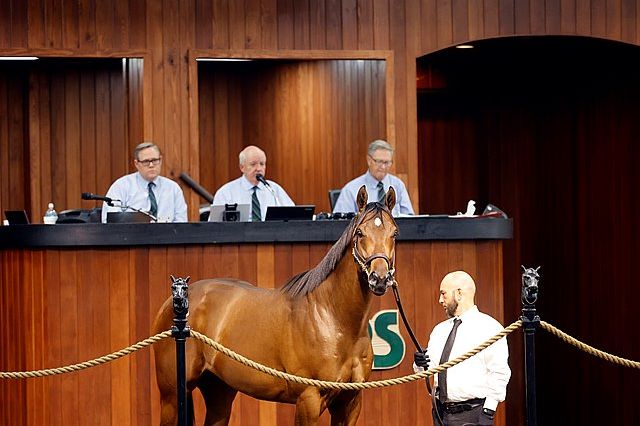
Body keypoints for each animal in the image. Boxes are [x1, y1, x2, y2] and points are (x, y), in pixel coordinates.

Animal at [152, 185, 399, 425]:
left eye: (394, 233)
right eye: (359, 233)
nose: (379, 278)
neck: (334, 321)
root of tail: (177, 299)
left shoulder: (350, 402)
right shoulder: (308, 400)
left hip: (218, 392)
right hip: (172, 397)